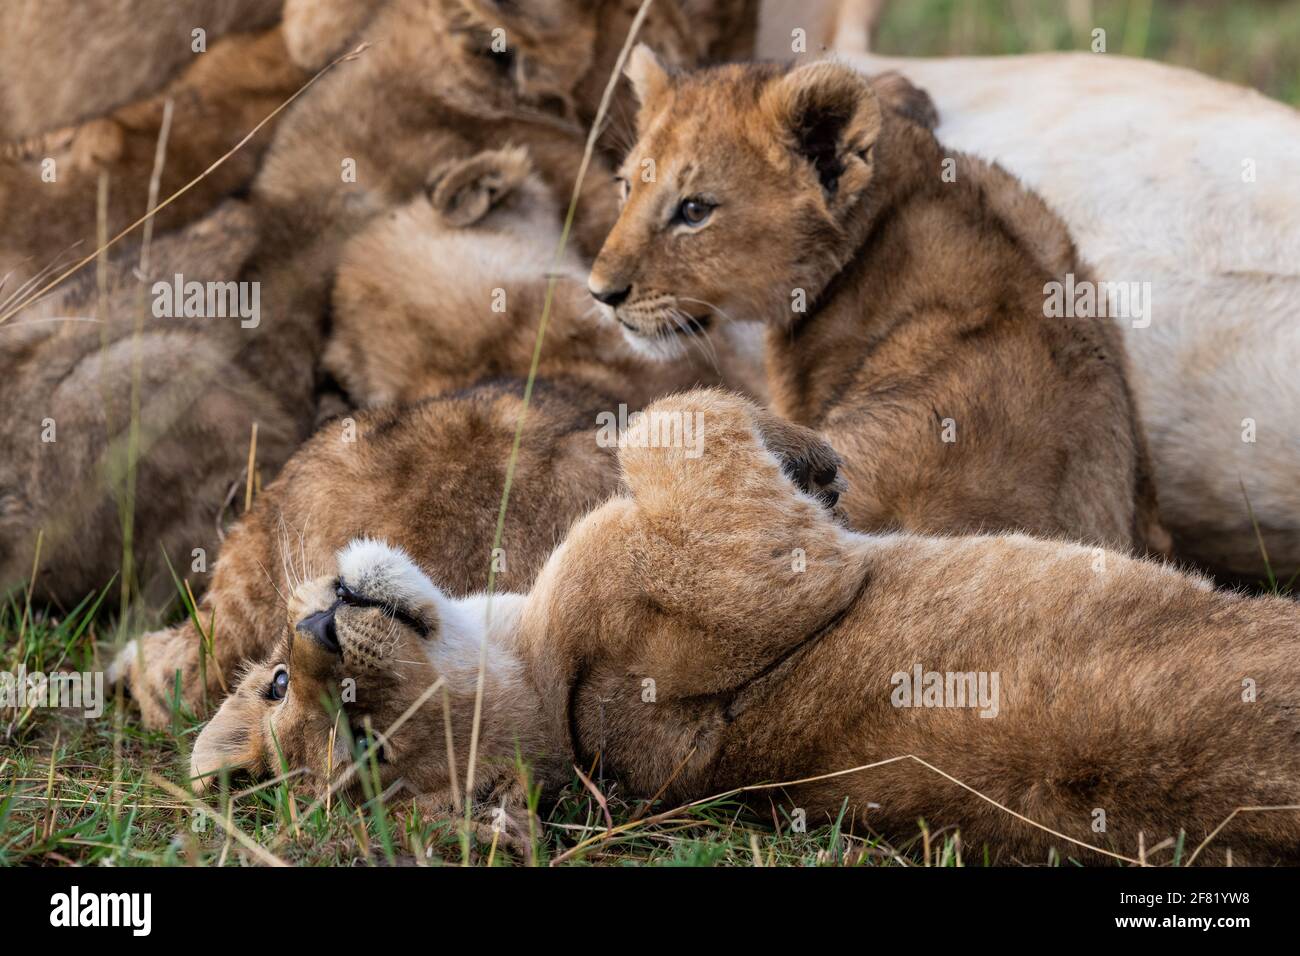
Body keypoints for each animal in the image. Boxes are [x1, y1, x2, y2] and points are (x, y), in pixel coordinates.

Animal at [190, 388, 1300, 864]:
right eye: (364, 746)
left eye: (281, 684)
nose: (317, 629)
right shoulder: (767, 572)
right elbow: (663, 429)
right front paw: (803, 454)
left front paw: (806, 451)